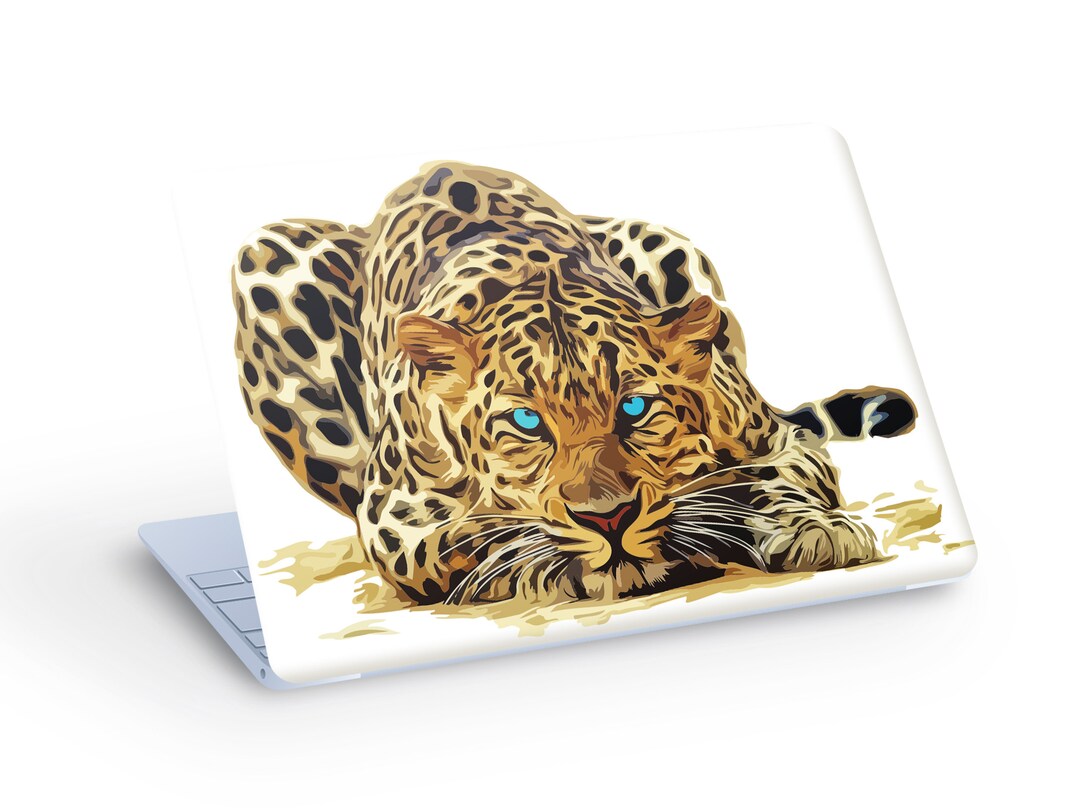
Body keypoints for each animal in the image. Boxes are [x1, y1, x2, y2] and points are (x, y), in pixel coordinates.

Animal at [231, 161, 917, 606]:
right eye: (526, 422)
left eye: (636, 408)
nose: (609, 519)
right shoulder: (394, 517)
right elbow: (472, 539)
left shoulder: (772, 436)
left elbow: (779, 473)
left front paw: (815, 528)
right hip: (263, 254)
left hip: (666, 242)